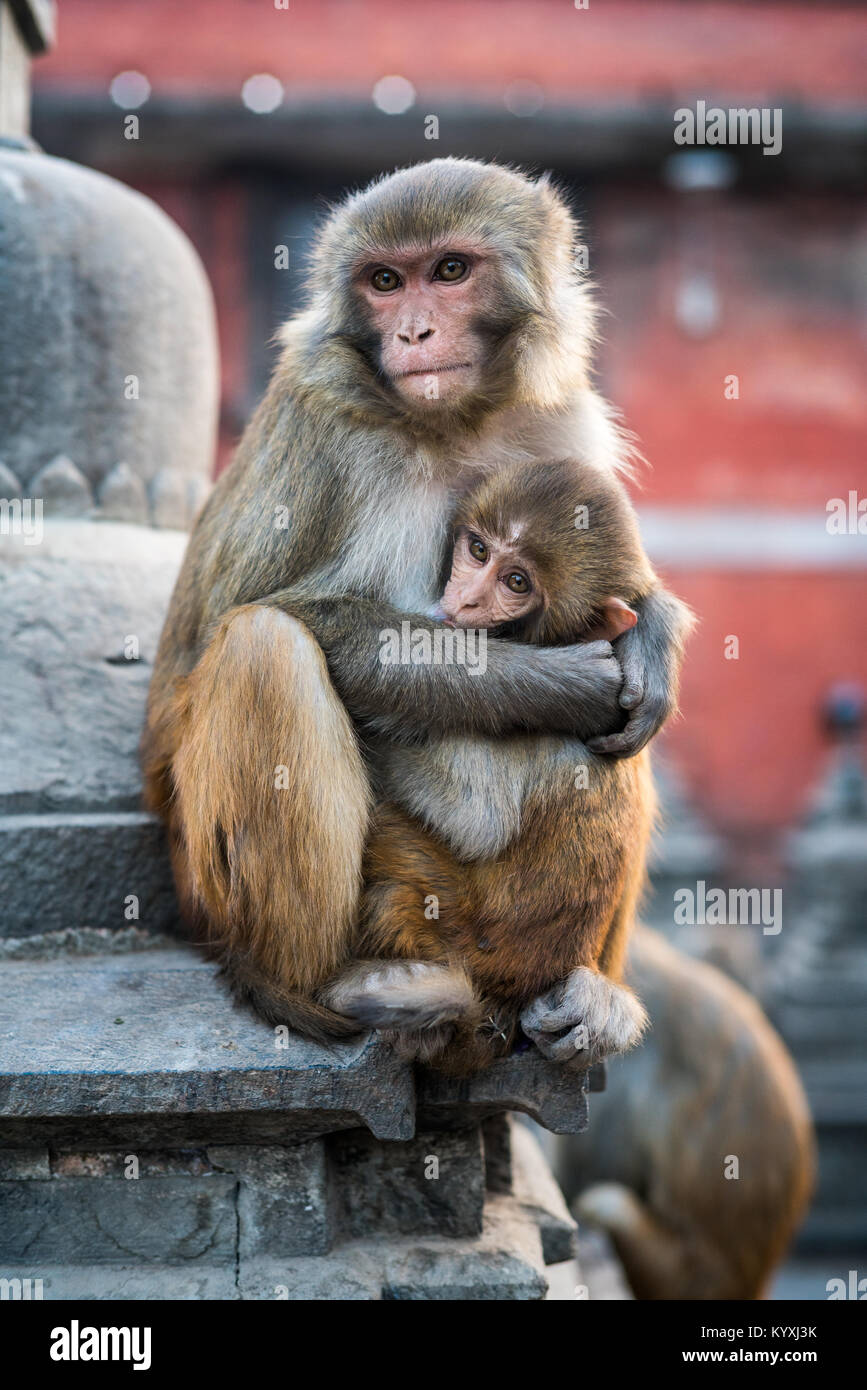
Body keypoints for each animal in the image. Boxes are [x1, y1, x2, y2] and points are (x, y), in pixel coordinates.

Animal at [325, 455, 672, 1075]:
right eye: (479, 550)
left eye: (517, 583)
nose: (463, 601)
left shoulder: (541, 736)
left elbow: (475, 820)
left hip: (448, 930)